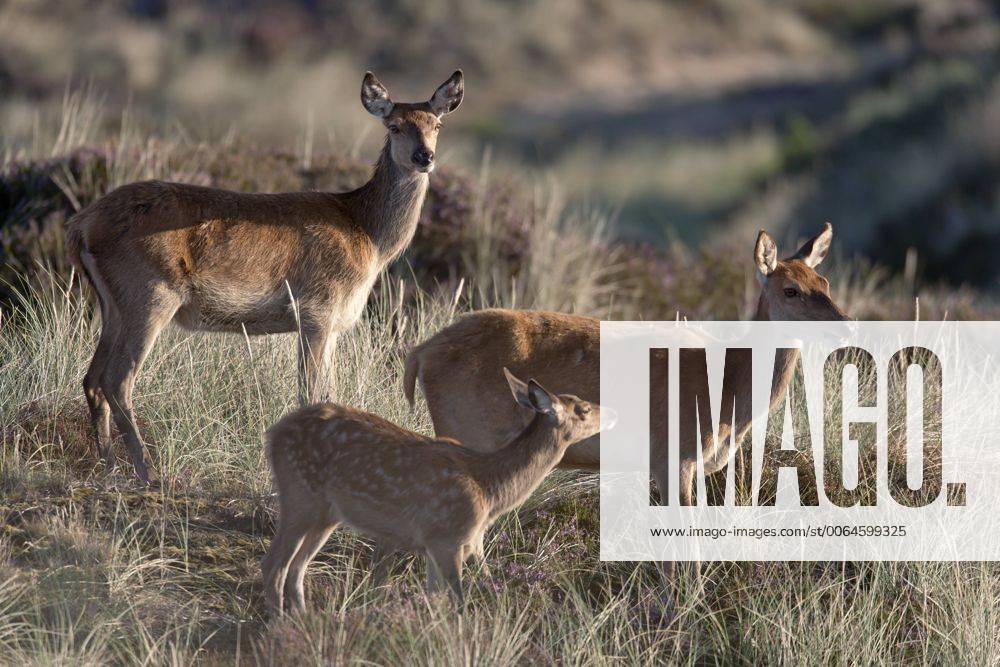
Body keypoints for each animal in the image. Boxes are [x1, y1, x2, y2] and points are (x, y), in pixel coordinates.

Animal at [65, 70, 464, 483]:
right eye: (394, 125)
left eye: (437, 124)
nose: (424, 157)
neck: (369, 237)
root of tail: (80, 225)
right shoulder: (316, 308)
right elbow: (310, 393)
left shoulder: (333, 323)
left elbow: (329, 393)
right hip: (149, 292)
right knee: (117, 379)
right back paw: (147, 469)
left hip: (114, 304)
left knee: (92, 378)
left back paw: (109, 463)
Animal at [261, 368, 609, 615]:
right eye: (583, 409)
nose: (614, 412)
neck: (490, 489)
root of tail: (272, 433)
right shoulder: (447, 538)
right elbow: (459, 601)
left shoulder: (450, 543)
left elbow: (436, 599)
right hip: (299, 495)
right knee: (275, 564)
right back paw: (279, 625)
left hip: (326, 514)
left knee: (296, 567)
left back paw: (303, 619)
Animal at [403, 223, 848, 506]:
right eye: (790, 290)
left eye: (825, 283)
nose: (845, 325)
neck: (727, 391)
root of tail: (421, 352)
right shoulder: (673, 454)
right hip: (468, 429)